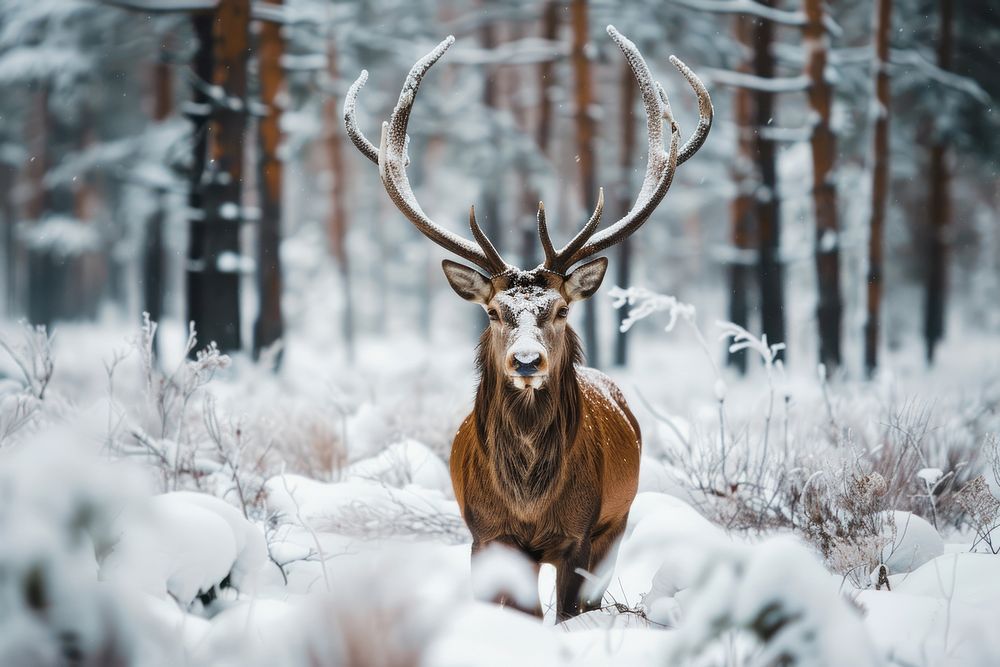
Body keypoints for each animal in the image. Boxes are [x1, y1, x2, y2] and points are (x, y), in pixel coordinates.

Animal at [344, 25, 712, 620]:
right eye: (494, 312)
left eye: (560, 309)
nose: (526, 360)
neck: (529, 504)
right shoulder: (485, 535)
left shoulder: (580, 535)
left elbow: (563, 613)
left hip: (616, 525)